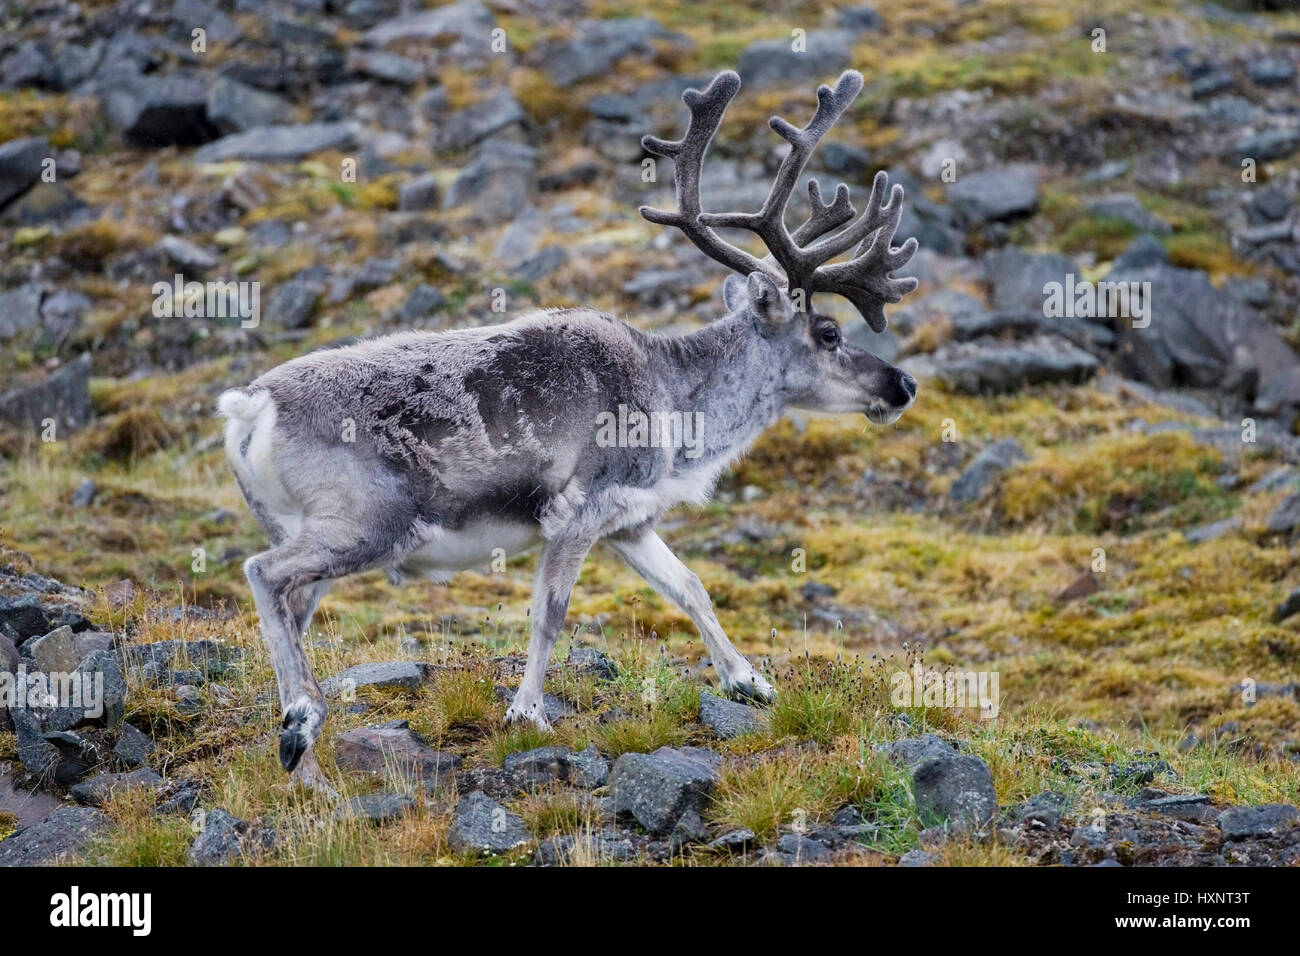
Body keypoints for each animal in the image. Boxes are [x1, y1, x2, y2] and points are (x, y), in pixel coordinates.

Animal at [217, 69, 919, 793]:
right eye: (829, 332)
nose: (902, 385)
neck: (676, 410)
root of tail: (249, 406)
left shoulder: (631, 521)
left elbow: (691, 587)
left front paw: (749, 681)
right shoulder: (579, 510)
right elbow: (549, 613)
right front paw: (527, 714)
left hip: (306, 526)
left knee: (289, 604)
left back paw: (305, 765)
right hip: (367, 521)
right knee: (262, 573)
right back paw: (301, 723)